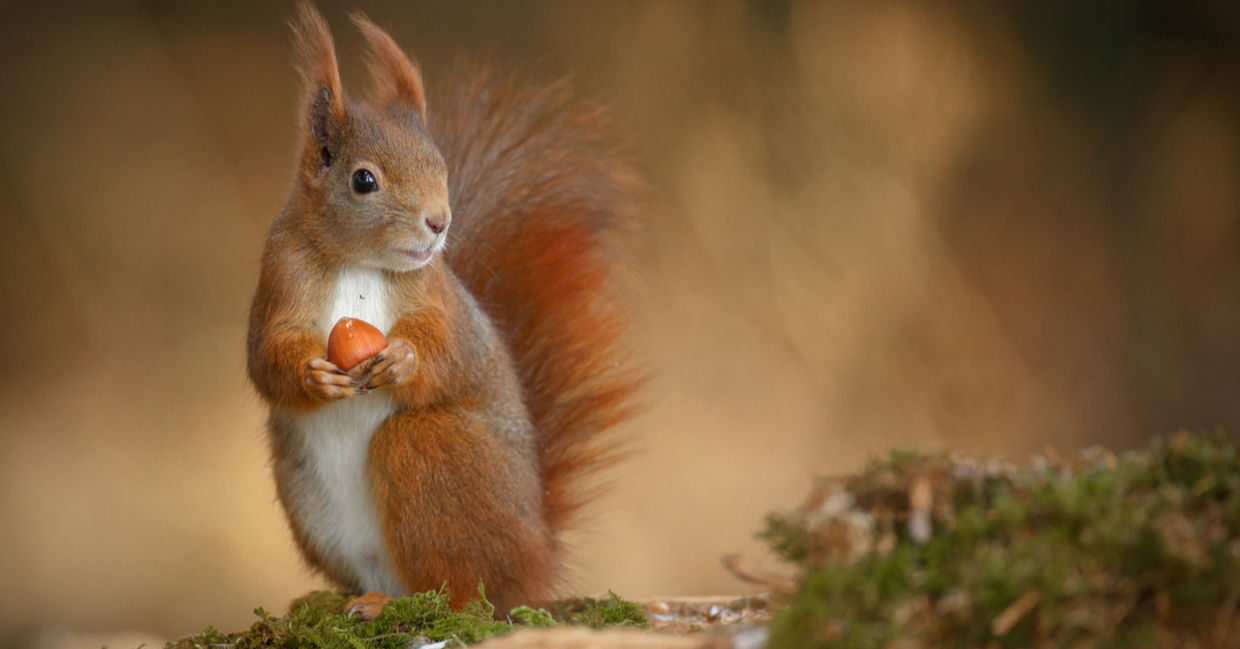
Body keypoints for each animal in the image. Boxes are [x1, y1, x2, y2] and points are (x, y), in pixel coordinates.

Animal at [246, 3, 643, 617]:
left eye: (441, 166)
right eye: (364, 180)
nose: (439, 222)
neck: (359, 263)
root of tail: (536, 559)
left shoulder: (439, 299)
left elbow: (449, 350)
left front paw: (404, 360)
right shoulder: (279, 279)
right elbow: (267, 357)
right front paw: (314, 376)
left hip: (433, 452)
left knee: (461, 589)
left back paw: (403, 604)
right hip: (307, 498)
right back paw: (362, 600)